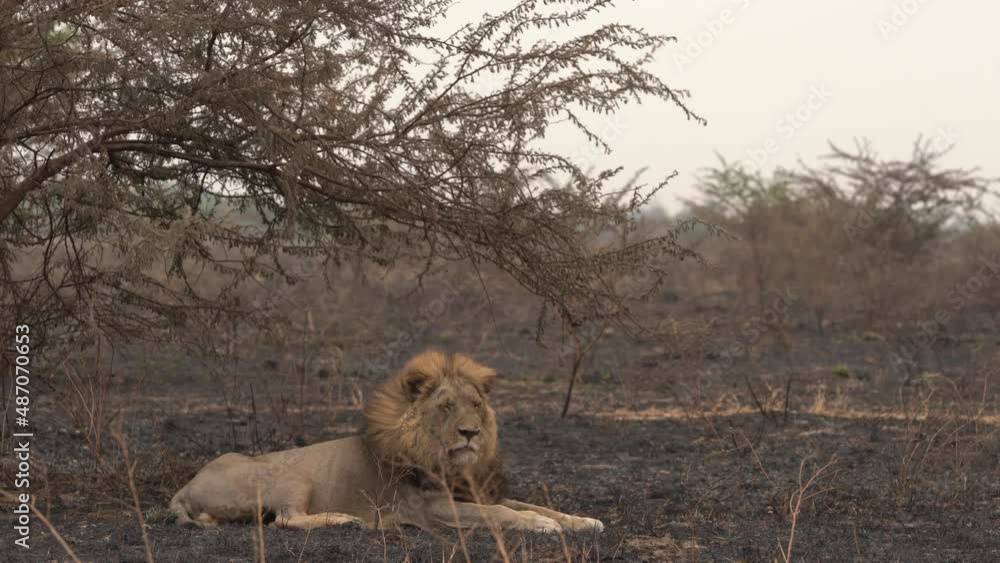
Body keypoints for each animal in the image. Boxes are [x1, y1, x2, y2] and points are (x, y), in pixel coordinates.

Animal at [169, 349, 604, 533]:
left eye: (476, 404)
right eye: (445, 407)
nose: (470, 432)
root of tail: (186, 485)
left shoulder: (471, 494)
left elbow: (532, 504)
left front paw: (581, 521)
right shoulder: (431, 508)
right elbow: (501, 513)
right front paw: (543, 526)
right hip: (293, 474)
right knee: (286, 519)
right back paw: (344, 520)